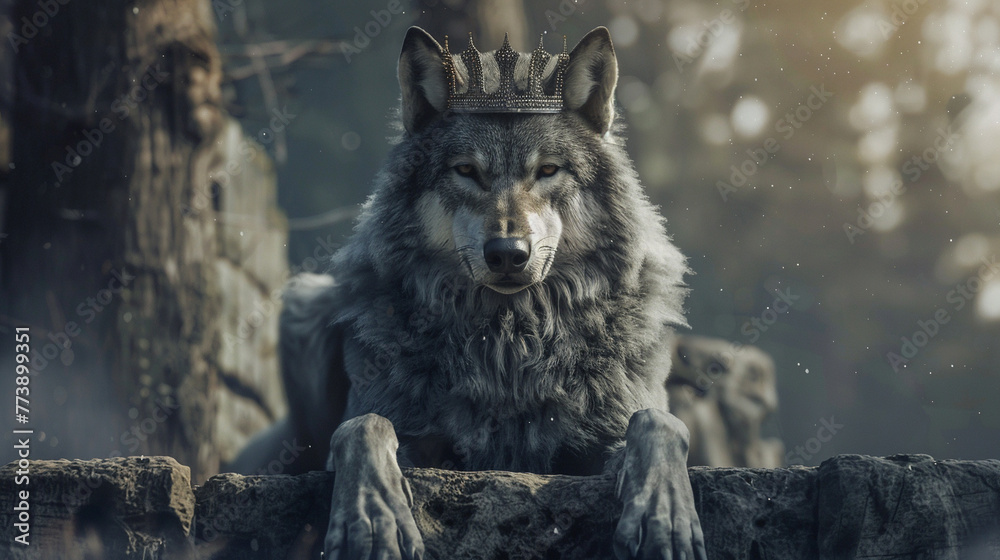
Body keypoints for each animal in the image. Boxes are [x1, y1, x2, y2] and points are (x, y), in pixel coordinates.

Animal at [234, 26, 706, 559]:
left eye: (547, 171)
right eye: (466, 170)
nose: (507, 253)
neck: (509, 349)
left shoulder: (601, 440)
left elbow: (659, 423)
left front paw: (664, 515)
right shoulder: (409, 434)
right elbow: (361, 427)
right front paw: (371, 518)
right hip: (303, 305)